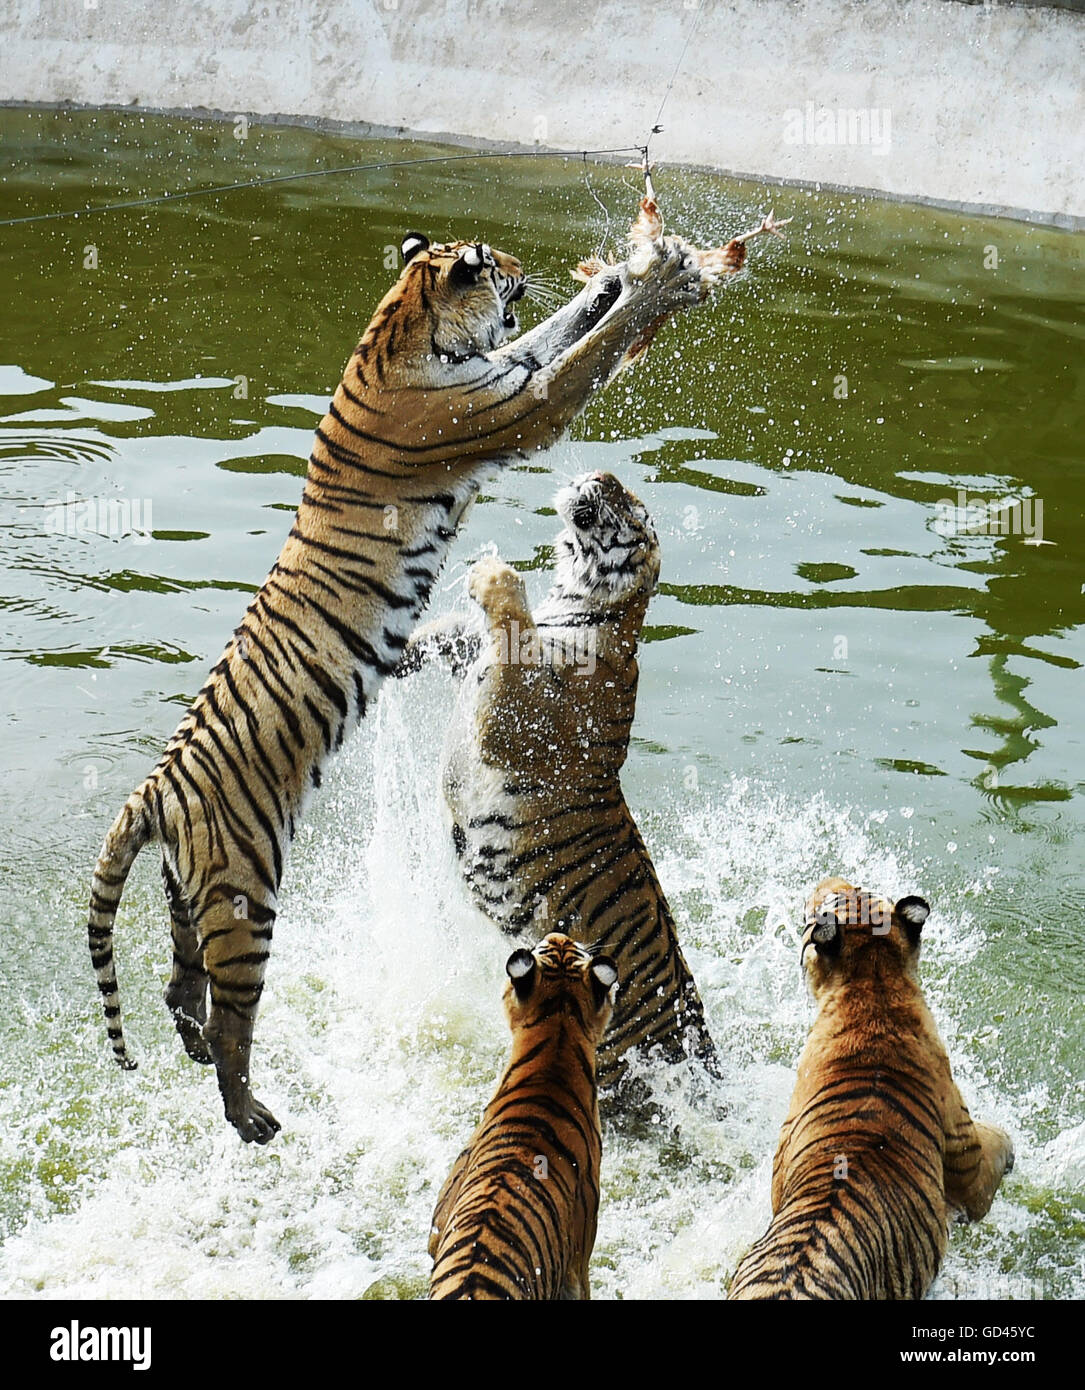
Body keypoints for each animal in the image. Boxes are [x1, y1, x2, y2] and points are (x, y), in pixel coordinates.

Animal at [398, 471, 719, 1094]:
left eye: (630, 506)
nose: (603, 476)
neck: (576, 601)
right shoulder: (477, 660)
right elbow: (455, 632)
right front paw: (394, 650)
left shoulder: (521, 716)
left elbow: (510, 619)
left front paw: (491, 572)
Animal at [728, 877, 1015, 1300]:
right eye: (835, 898)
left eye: (849, 891)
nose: (827, 879)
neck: (873, 984)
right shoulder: (965, 1157)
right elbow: (995, 1143)